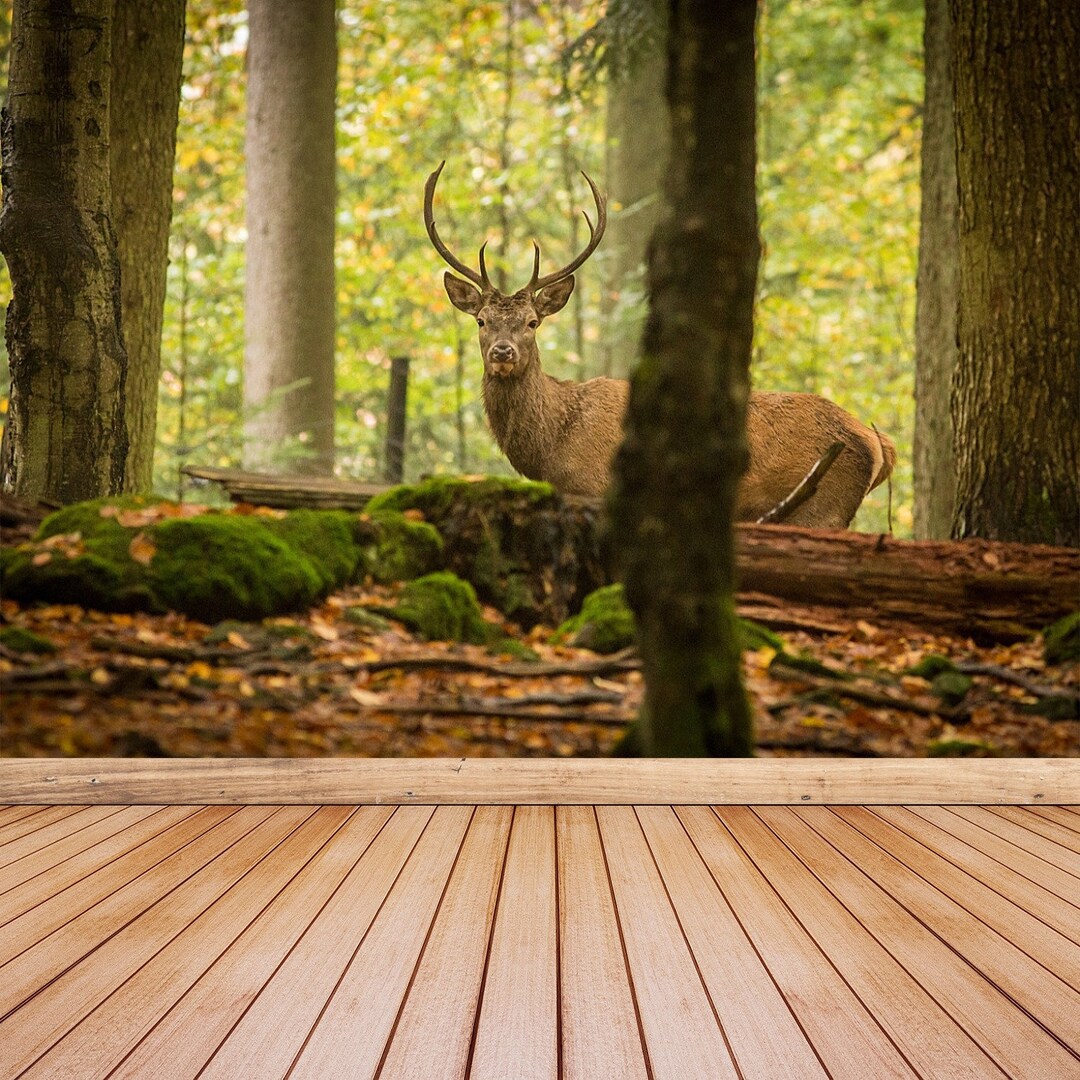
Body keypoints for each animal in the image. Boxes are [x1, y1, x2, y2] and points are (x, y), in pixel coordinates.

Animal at [424, 161, 896, 528]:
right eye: (482, 321)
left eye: (532, 322)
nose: (503, 352)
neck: (552, 446)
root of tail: (879, 445)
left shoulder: (596, 490)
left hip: (823, 508)